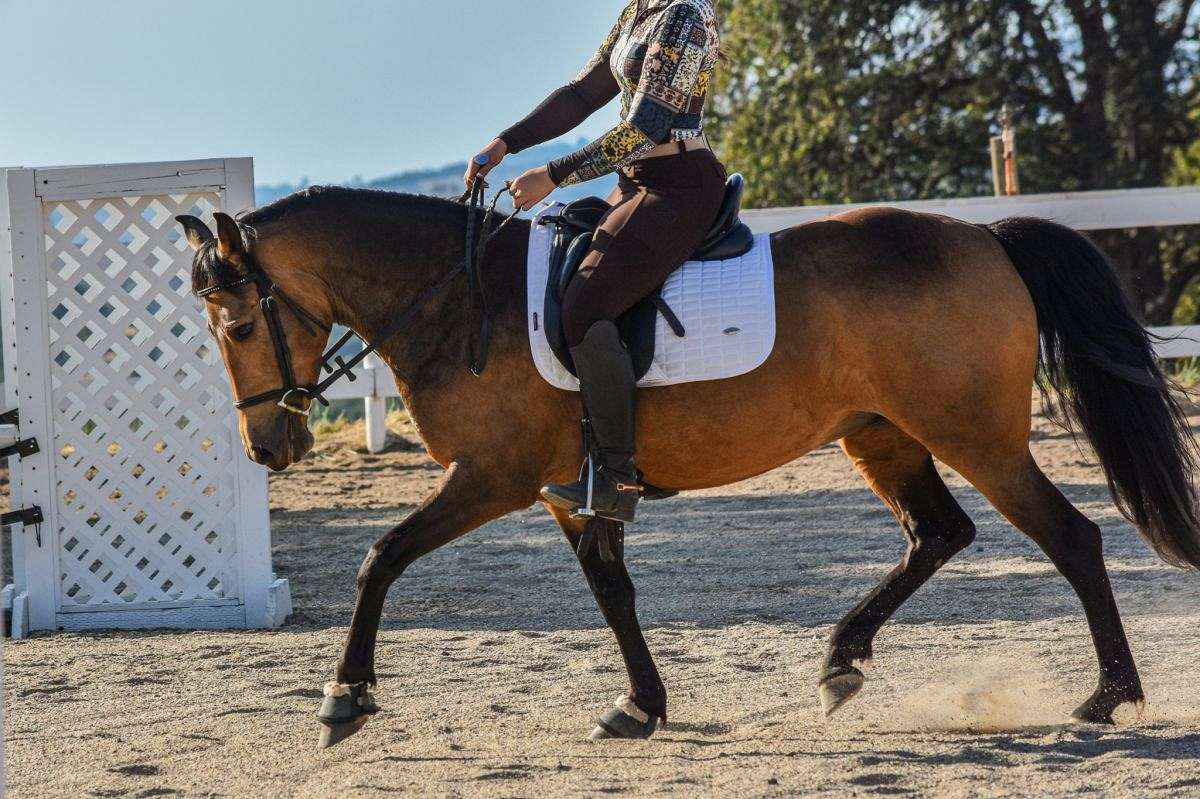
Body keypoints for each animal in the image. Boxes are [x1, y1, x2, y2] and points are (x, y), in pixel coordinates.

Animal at [176, 185, 1200, 747]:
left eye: (239, 324)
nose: (269, 448)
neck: (456, 298)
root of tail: (983, 237)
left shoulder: (493, 475)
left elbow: (379, 557)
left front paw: (344, 696)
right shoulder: (569, 489)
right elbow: (611, 591)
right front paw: (640, 704)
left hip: (974, 436)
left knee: (1070, 537)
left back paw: (1108, 695)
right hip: (882, 434)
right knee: (938, 533)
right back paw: (841, 662)